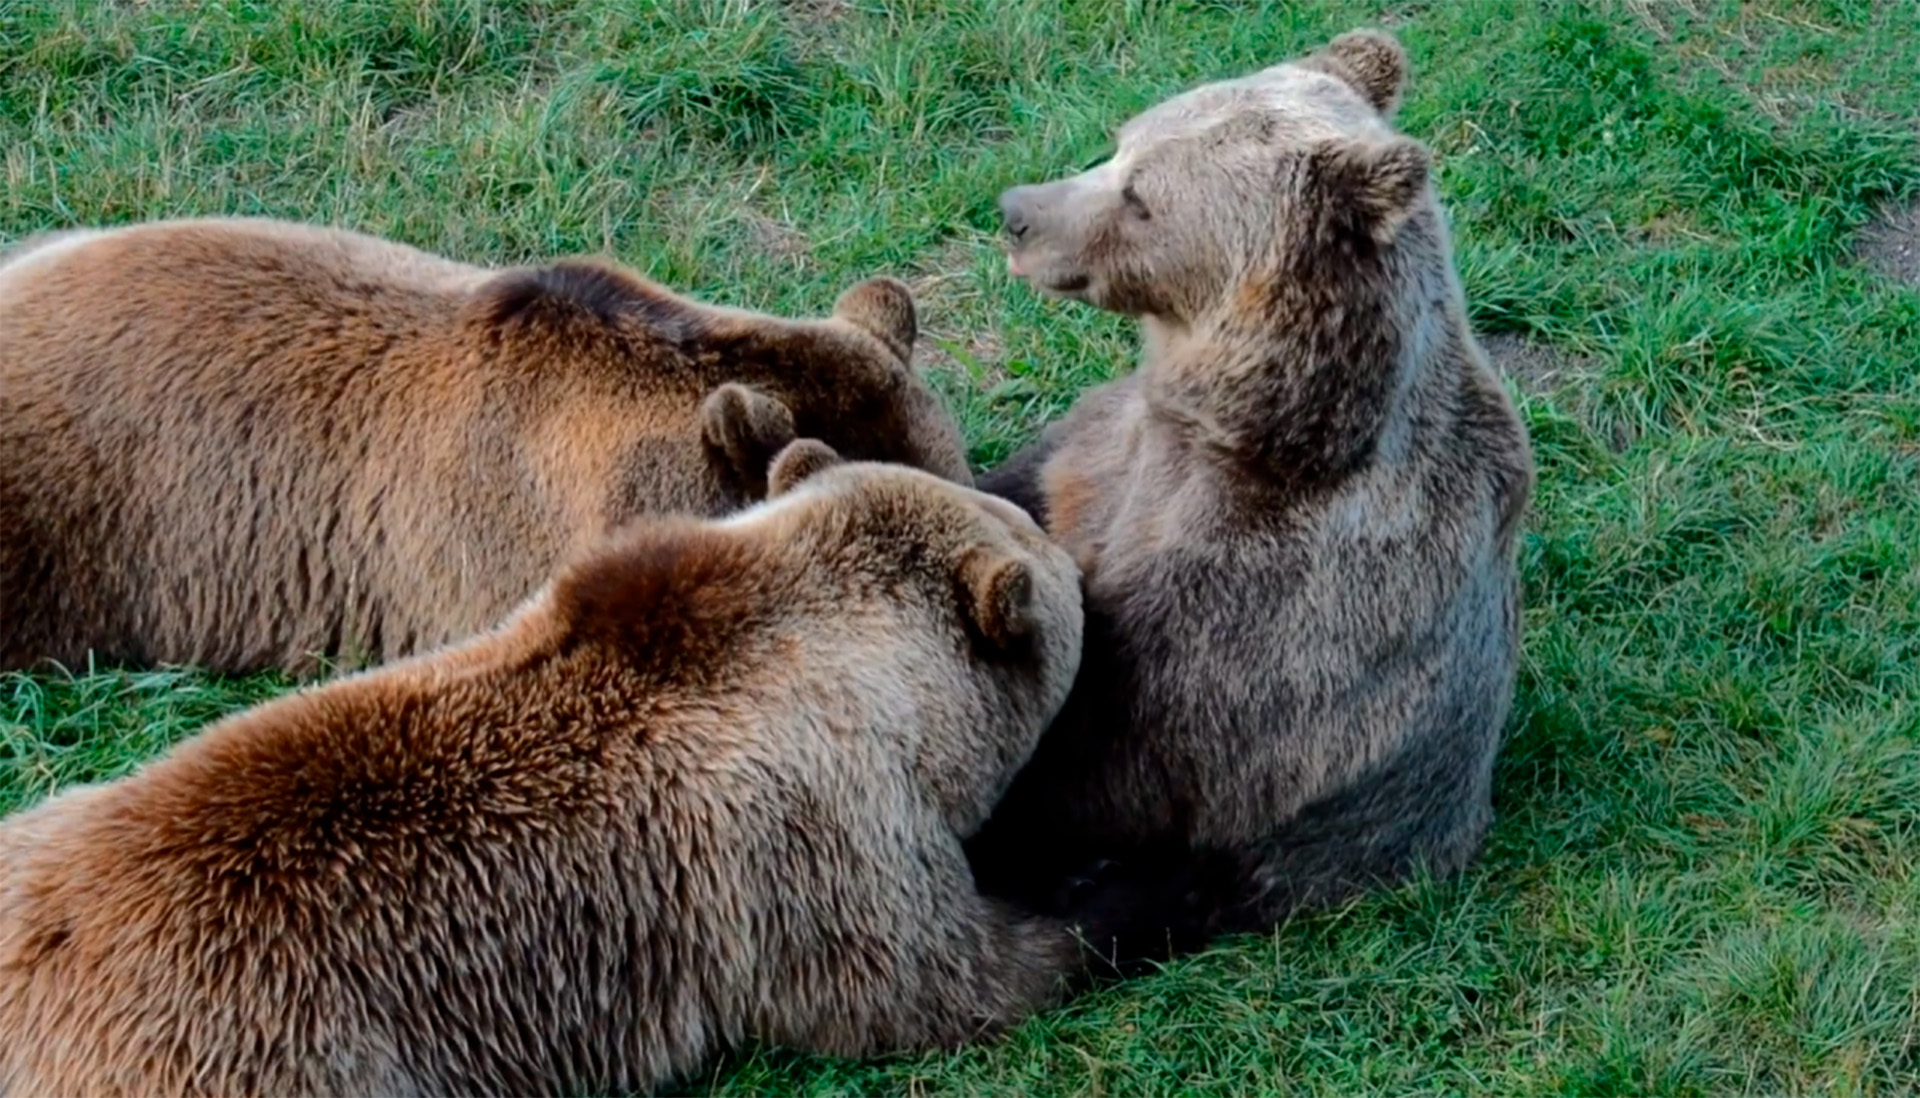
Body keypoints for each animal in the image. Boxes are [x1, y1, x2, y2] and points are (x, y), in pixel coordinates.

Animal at [962, 29, 1537, 937]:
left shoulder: (1265, 597)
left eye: (1142, 198)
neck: (1247, 428)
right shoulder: (1109, 448)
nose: (1018, 211)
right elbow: (1027, 483)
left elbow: (1108, 748)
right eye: (1121, 142)